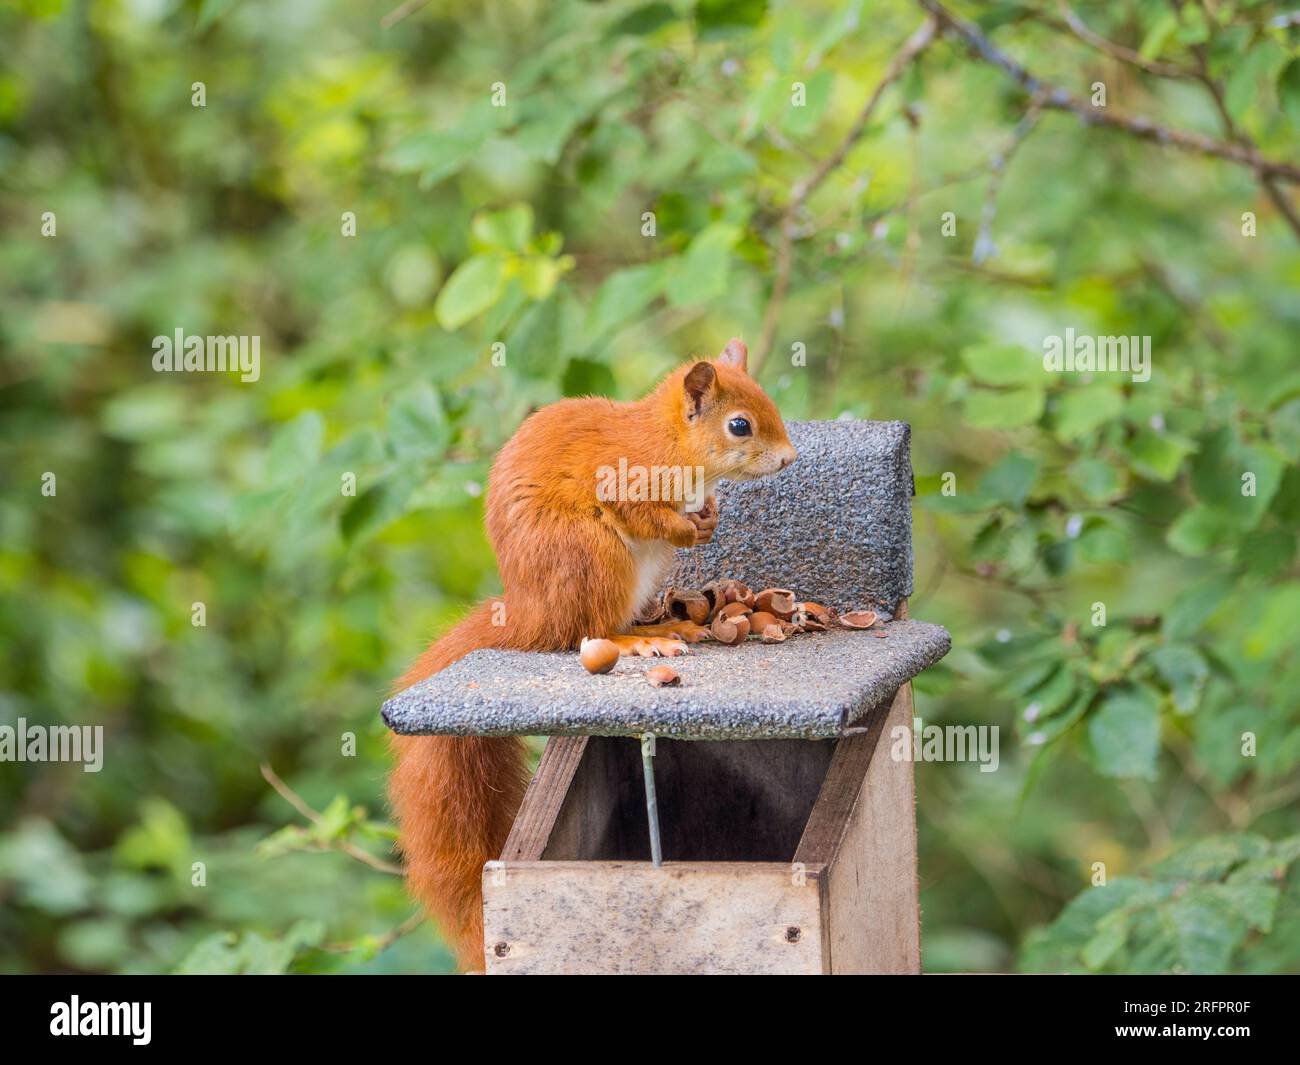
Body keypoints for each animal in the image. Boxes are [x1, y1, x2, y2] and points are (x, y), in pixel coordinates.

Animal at [388, 338, 797, 970]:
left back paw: (677, 620)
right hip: (594, 556)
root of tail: (530, 615)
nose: (790, 459)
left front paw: (708, 518)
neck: (672, 446)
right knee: (587, 631)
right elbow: (644, 513)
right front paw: (689, 528)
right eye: (739, 425)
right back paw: (638, 638)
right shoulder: (623, 480)